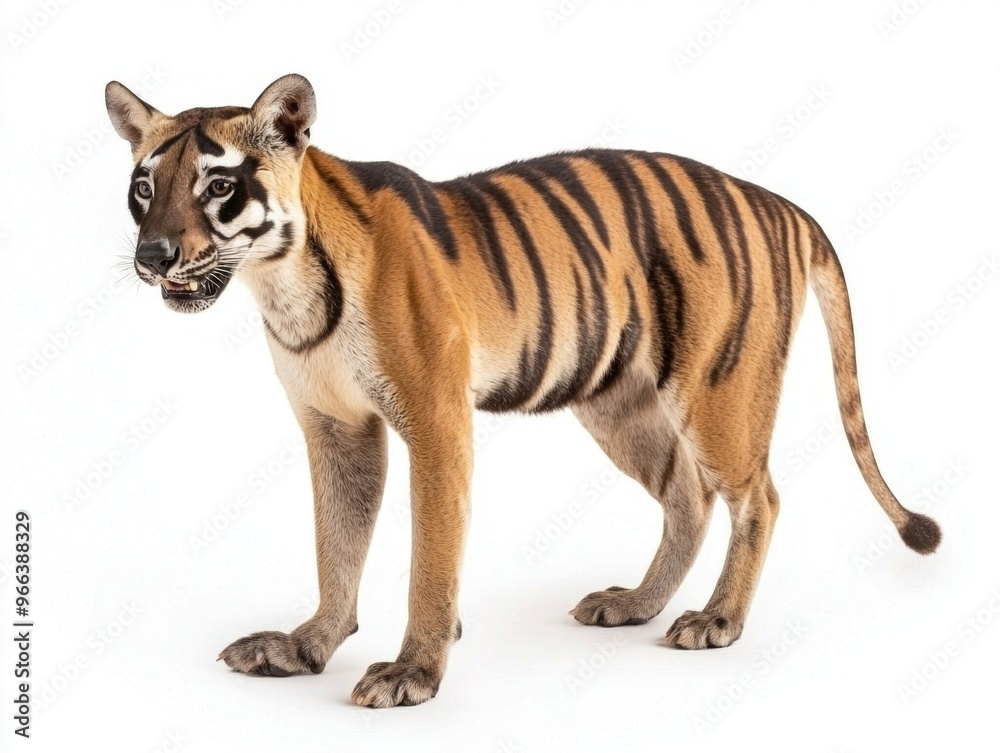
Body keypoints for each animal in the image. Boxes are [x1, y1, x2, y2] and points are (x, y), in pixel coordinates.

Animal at [105, 73, 941, 708]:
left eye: (218, 185)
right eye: (144, 186)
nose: (152, 256)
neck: (284, 282)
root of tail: (780, 202)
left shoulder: (435, 423)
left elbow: (429, 555)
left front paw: (414, 669)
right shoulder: (337, 428)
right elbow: (335, 545)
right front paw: (307, 643)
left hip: (719, 390)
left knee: (757, 497)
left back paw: (717, 619)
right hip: (619, 402)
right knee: (687, 496)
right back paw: (637, 603)